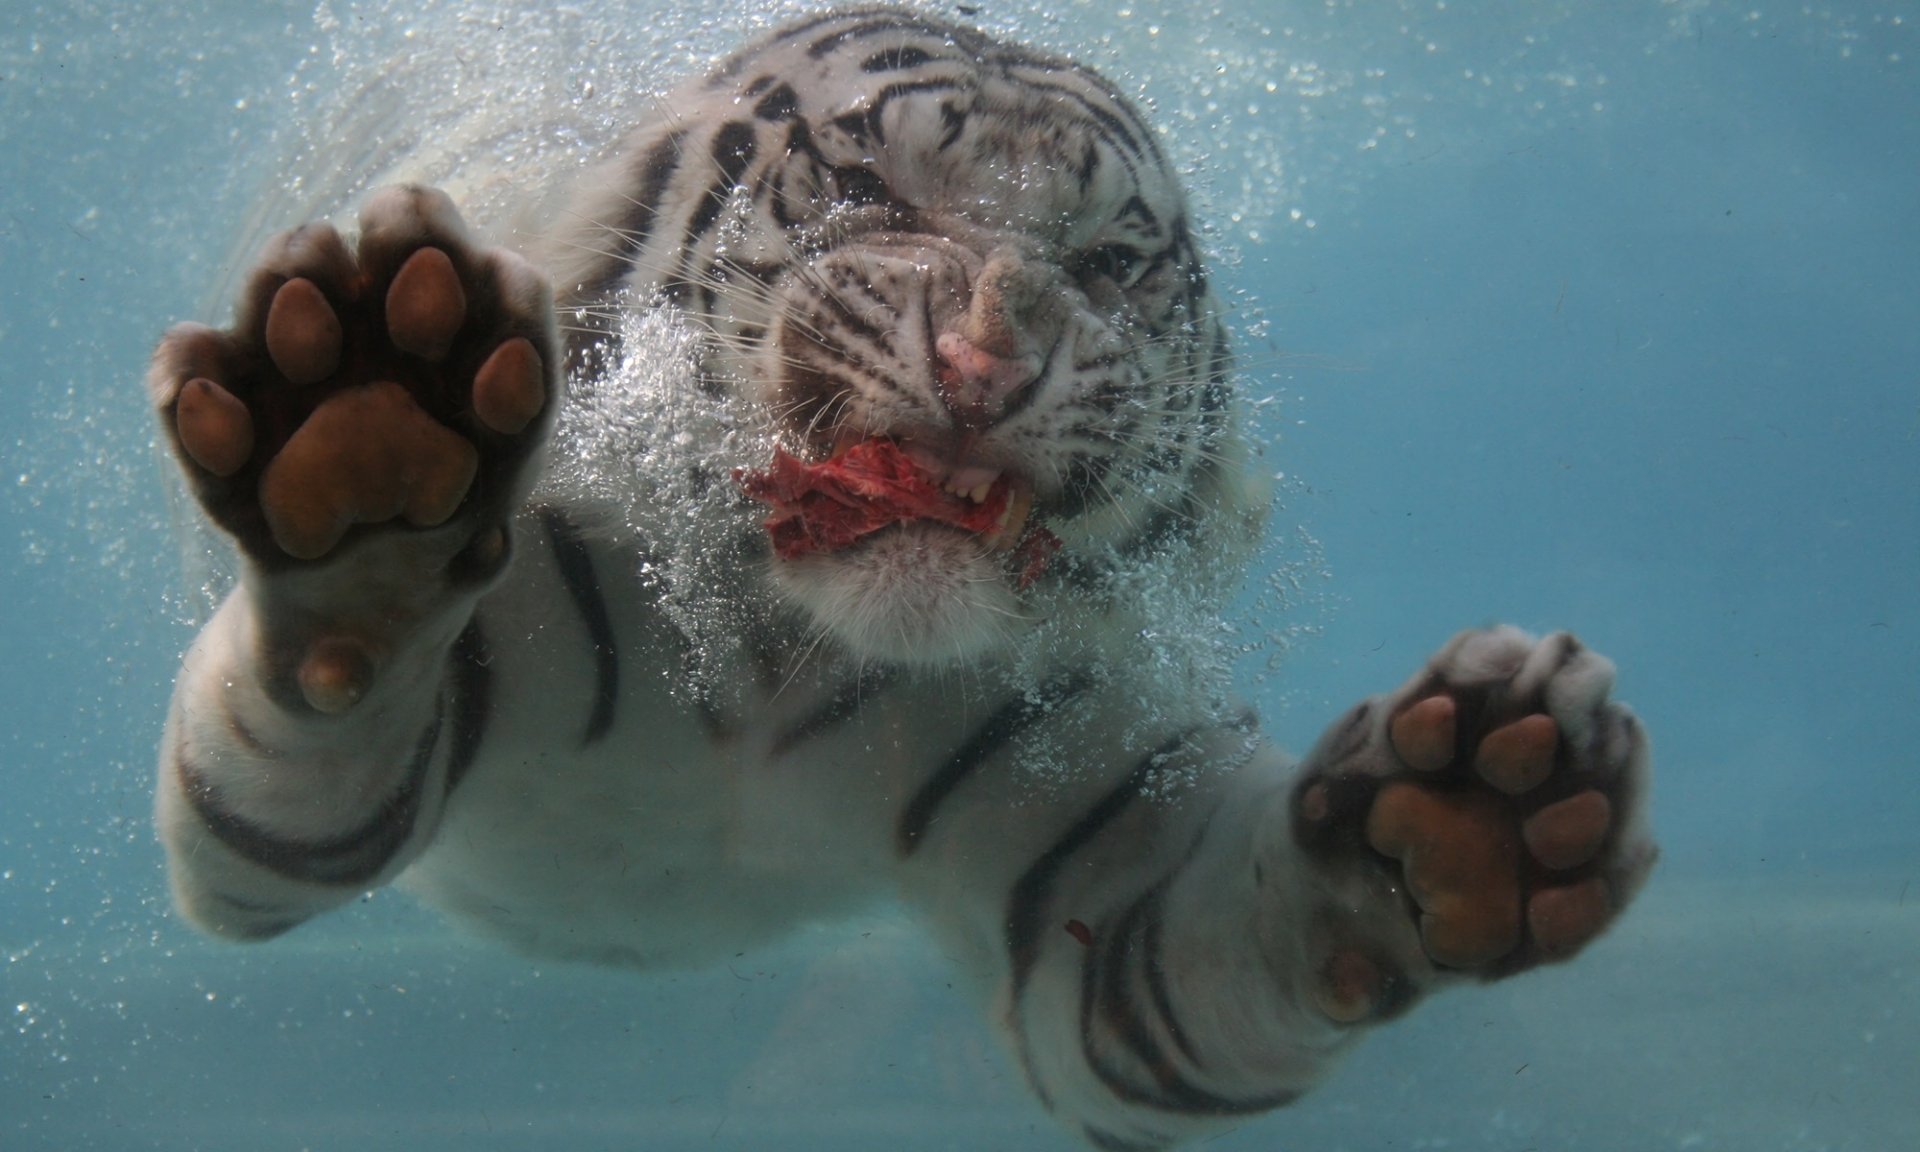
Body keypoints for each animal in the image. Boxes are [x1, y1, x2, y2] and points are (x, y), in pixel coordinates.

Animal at [144, 6, 1656, 1149]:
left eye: (1108, 261)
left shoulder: (1104, 857)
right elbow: (335, 680)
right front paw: (368, 458)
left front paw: (1470, 815)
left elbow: (1249, 938)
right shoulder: (330, 778)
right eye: (868, 190)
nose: (994, 355)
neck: (783, 666)